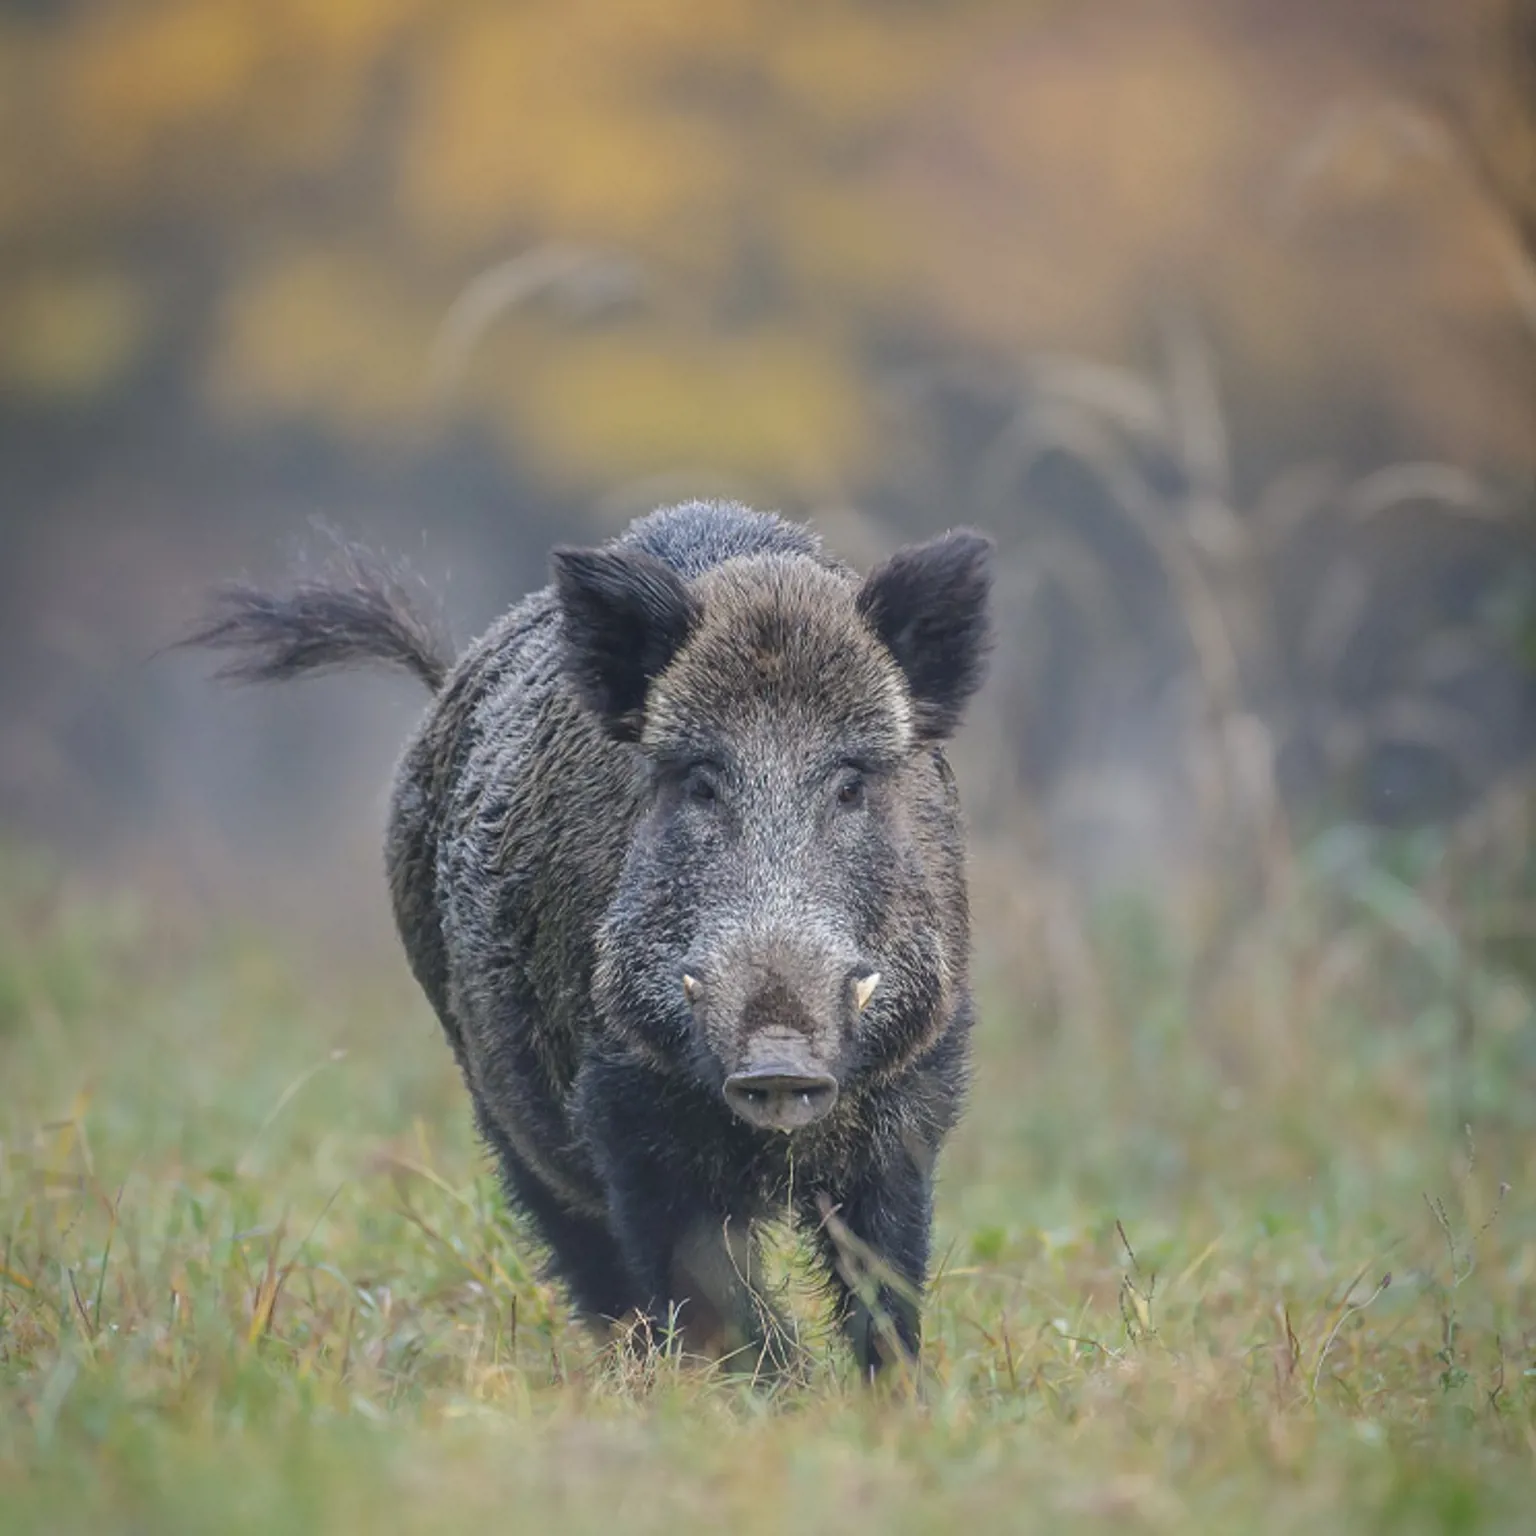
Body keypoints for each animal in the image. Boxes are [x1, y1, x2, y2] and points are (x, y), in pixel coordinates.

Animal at [186, 501, 991, 1378]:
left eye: (850, 784)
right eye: (699, 782)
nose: (777, 1058)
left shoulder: (911, 1098)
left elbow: (886, 1285)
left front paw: (891, 1399)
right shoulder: (621, 1109)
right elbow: (715, 1295)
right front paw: (777, 1396)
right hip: (498, 1106)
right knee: (590, 1265)